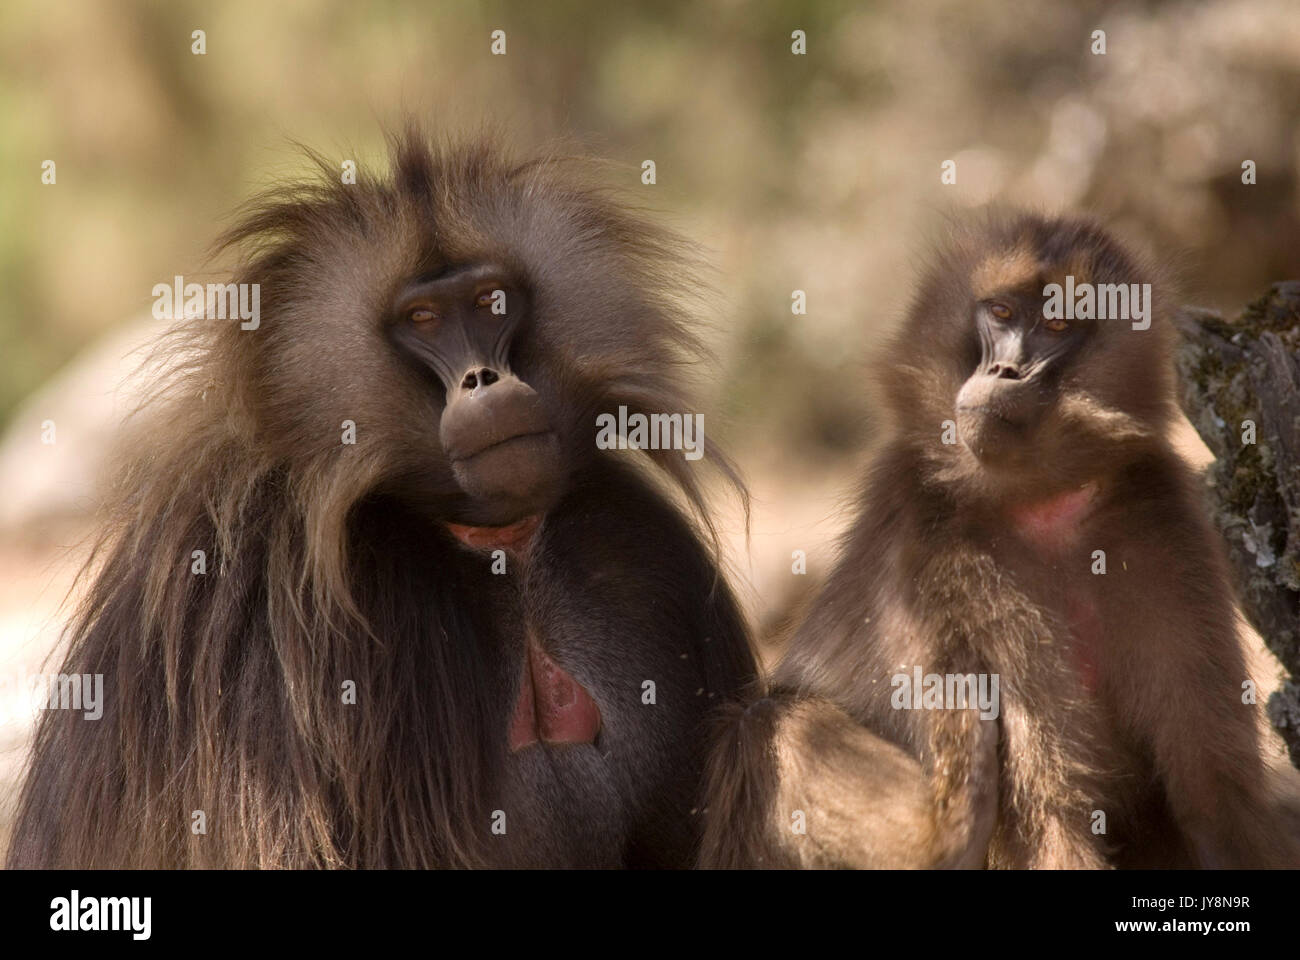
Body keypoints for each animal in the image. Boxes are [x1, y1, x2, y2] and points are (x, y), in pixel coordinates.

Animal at [5, 130, 757, 868]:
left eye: (490, 300)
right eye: (421, 317)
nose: (483, 381)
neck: (495, 545)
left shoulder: (635, 543)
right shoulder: (276, 621)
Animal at [701, 212, 1299, 869]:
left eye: (1058, 323)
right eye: (1003, 313)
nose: (1004, 372)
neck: (1043, 501)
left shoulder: (1163, 523)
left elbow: (1215, 802)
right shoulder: (936, 552)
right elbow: (1054, 820)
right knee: (771, 723)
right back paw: (944, 833)